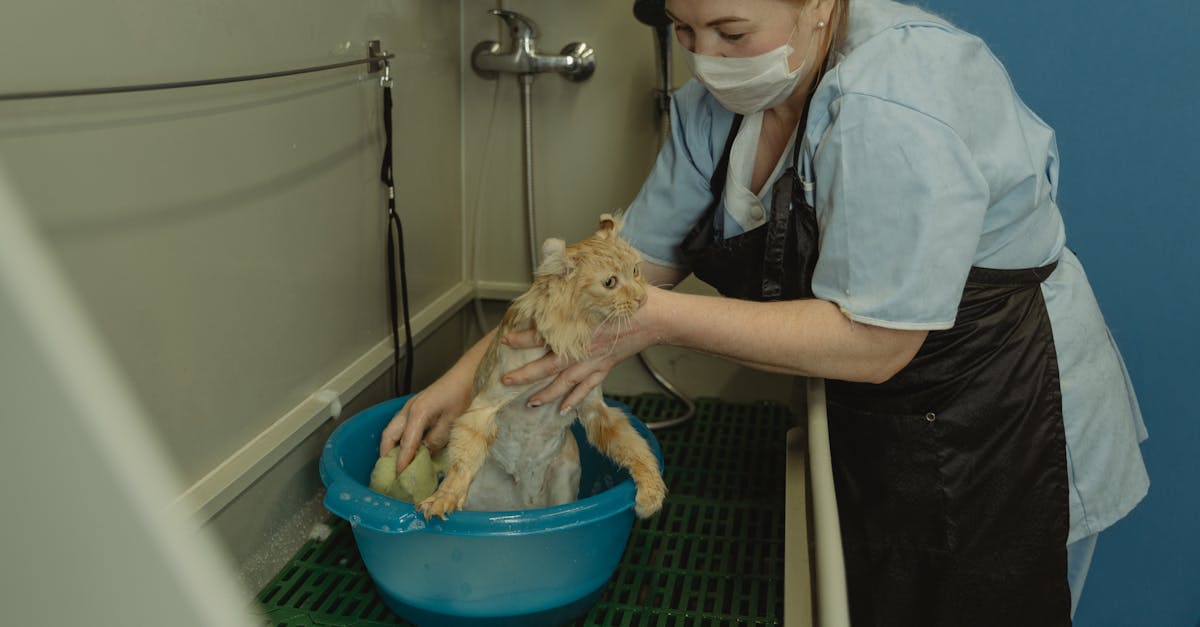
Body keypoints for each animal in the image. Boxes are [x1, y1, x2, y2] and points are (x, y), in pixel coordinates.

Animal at [417, 213, 667, 516]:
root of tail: (525, 504)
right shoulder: (484, 407)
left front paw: (652, 488)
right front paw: (444, 497)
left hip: (564, 479)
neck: (572, 333)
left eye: (636, 271)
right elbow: (462, 463)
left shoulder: (595, 407)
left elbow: (633, 445)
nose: (642, 298)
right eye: (609, 282)